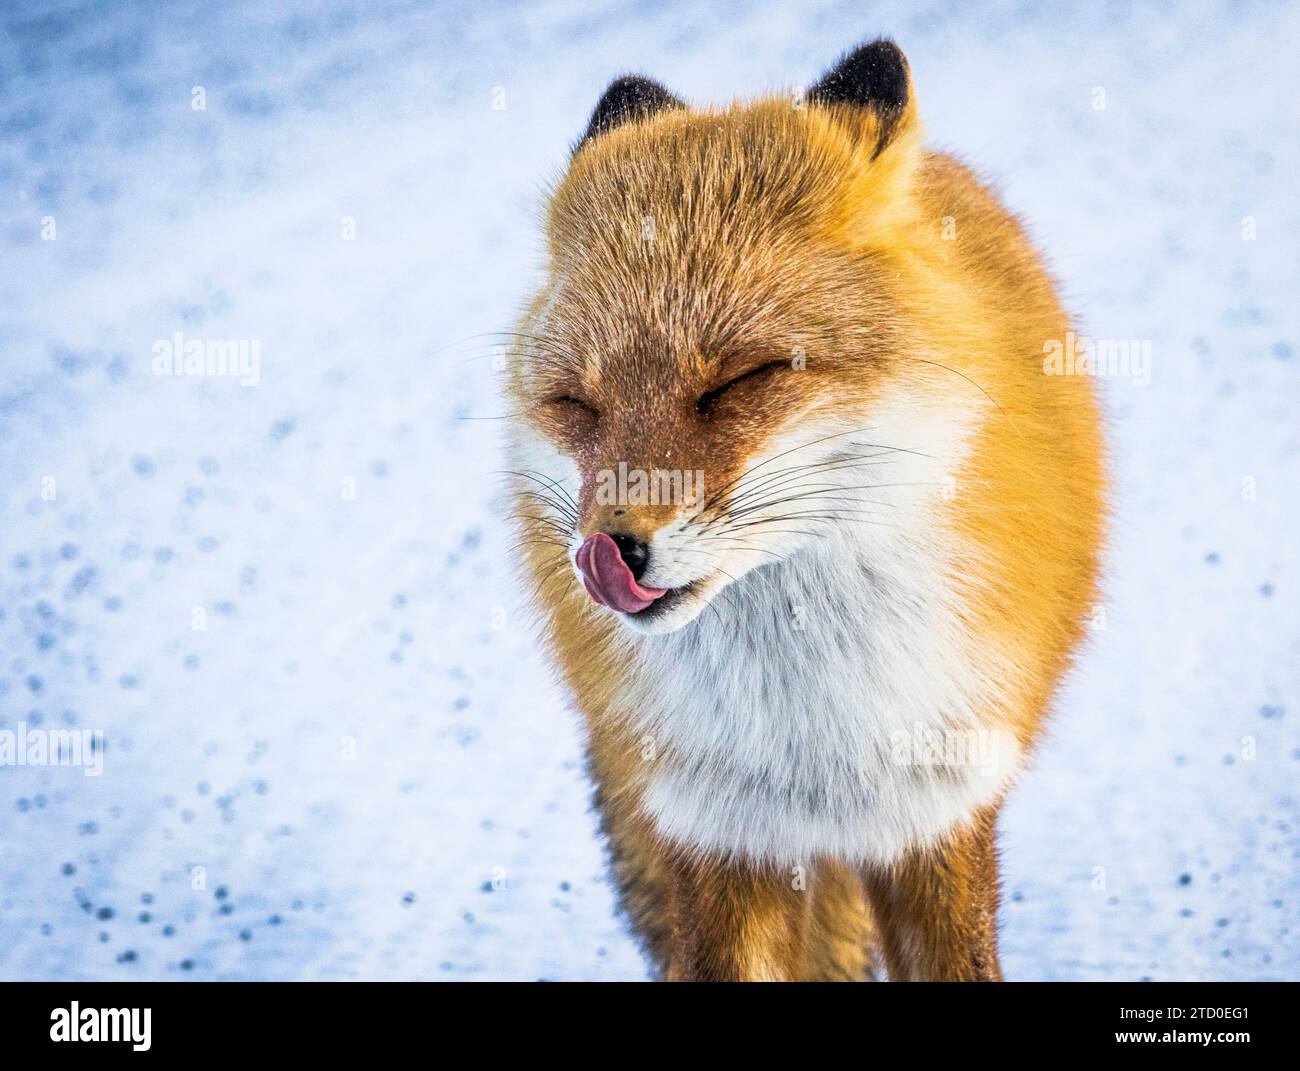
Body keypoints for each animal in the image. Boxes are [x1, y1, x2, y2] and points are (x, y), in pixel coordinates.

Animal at [505, 38, 1105, 981]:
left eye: (738, 380)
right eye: (576, 403)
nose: (609, 557)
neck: (814, 742)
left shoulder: (938, 808)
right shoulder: (712, 830)